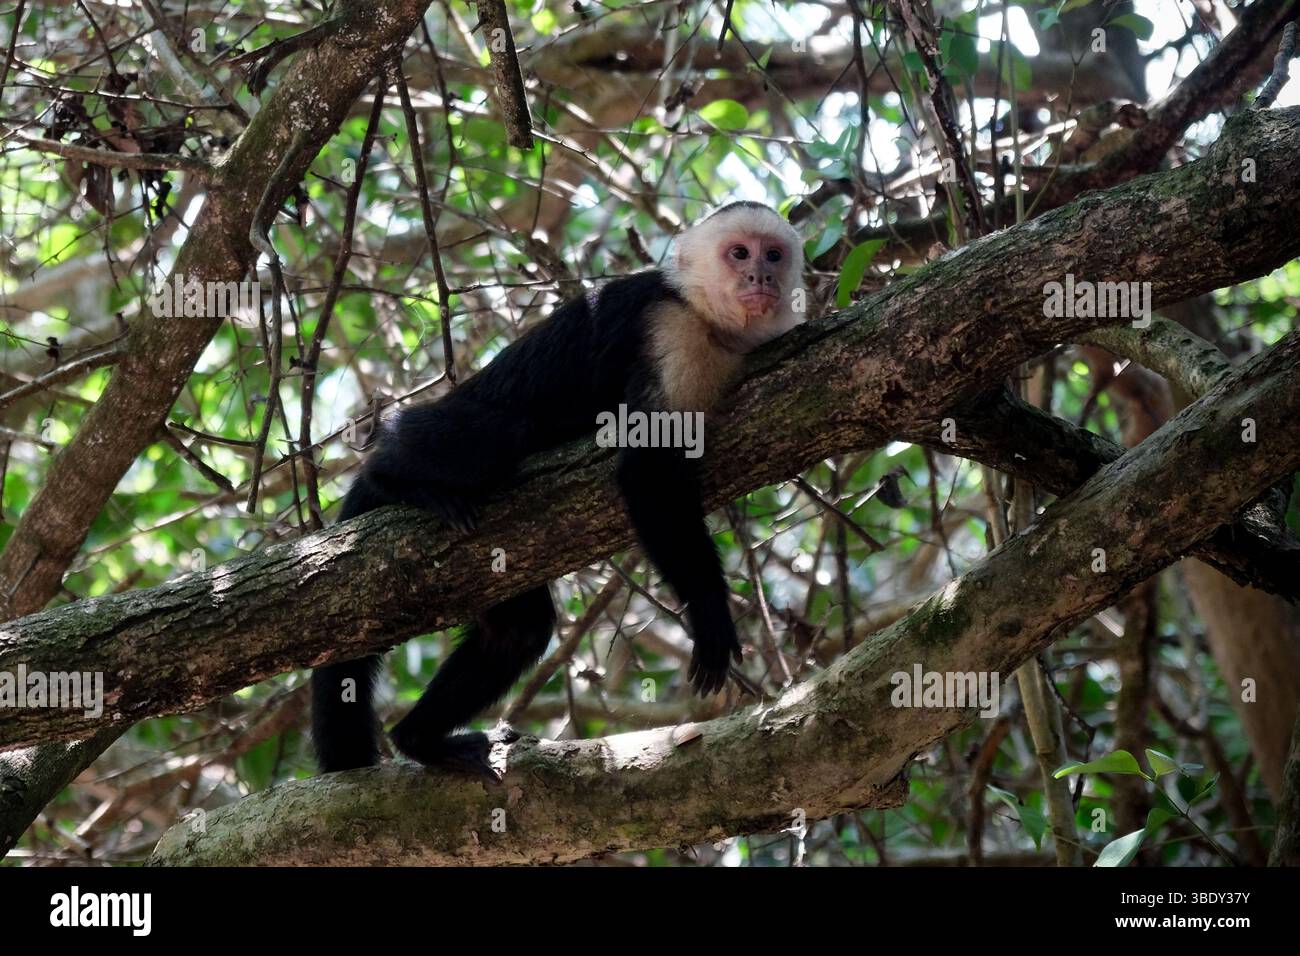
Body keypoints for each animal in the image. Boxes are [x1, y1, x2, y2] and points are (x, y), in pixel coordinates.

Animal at [311, 201, 804, 774]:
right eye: (739, 254)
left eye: (774, 255)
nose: (761, 277)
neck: (709, 319)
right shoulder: (669, 330)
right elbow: (647, 472)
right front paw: (710, 612)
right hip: (463, 419)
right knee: (496, 434)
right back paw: (396, 477)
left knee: (517, 631)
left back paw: (419, 738)